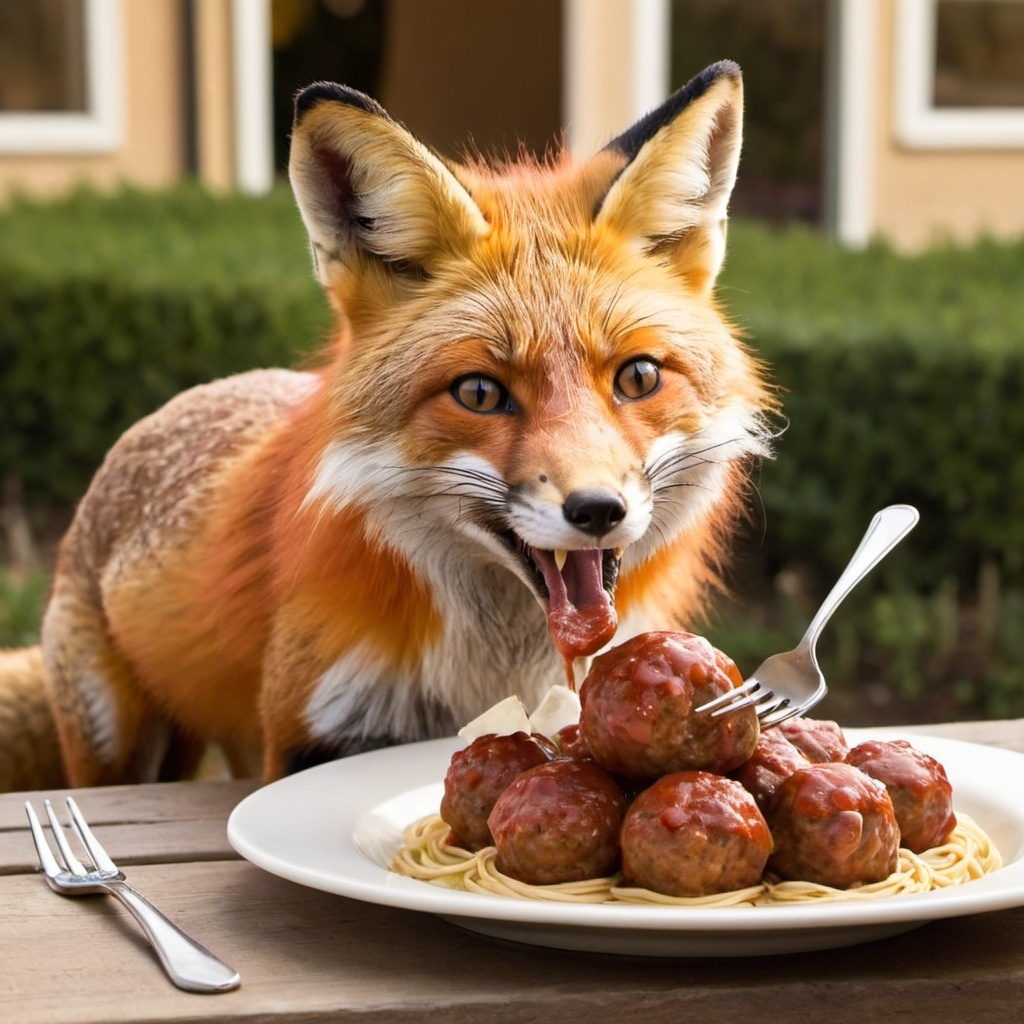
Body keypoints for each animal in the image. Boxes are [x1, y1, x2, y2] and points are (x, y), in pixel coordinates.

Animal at [12, 61, 775, 790]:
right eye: (479, 393)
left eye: (638, 378)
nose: (596, 511)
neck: (499, 670)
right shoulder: (315, 732)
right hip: (114, 738)